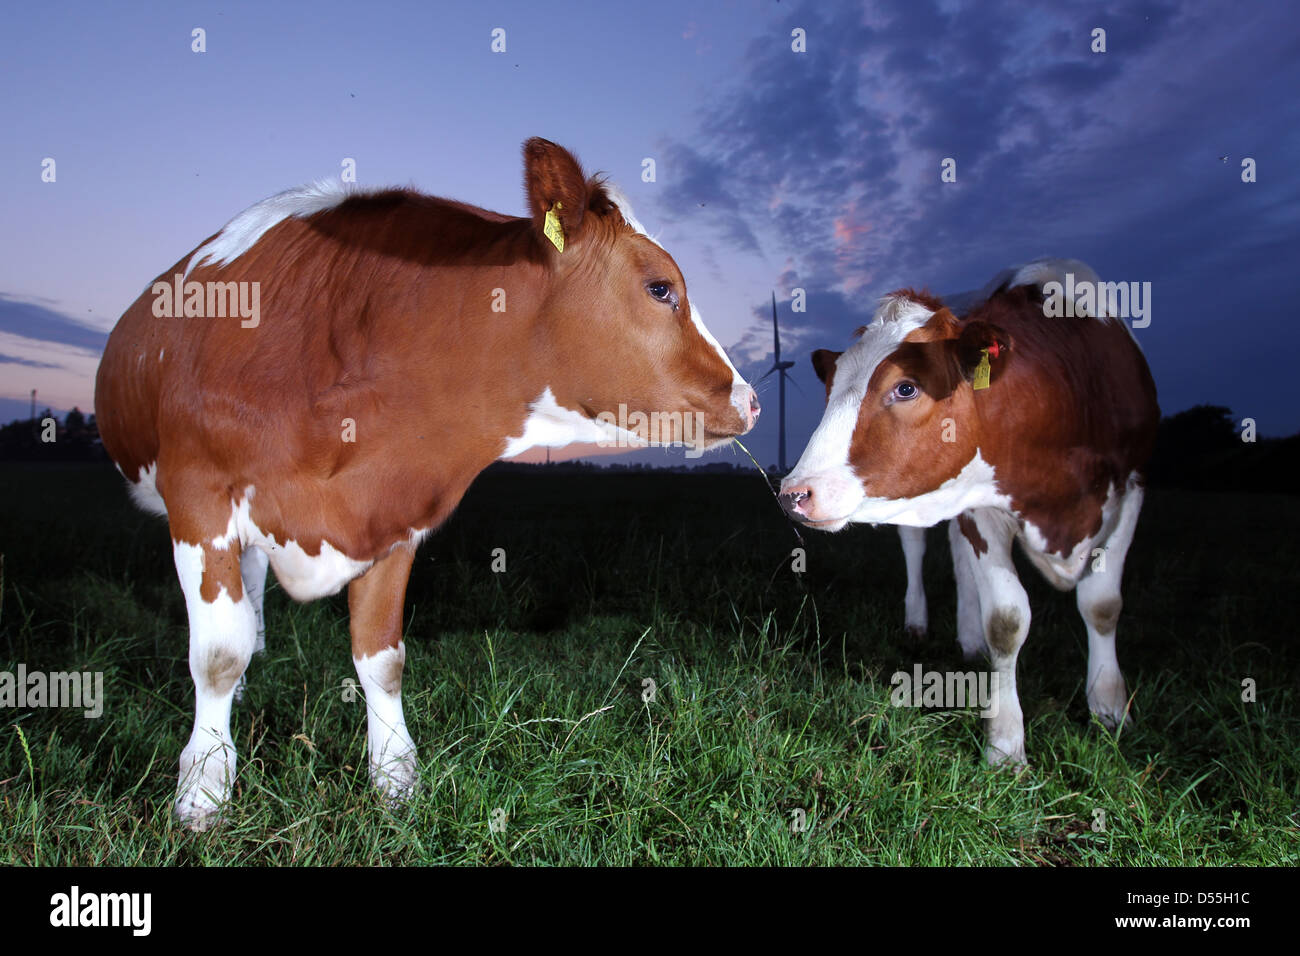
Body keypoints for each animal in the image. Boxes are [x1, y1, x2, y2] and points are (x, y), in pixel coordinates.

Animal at [94, 138, 759, 829]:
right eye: (661, 288)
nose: (751, 400)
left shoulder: (393, 509)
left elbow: (382, 658)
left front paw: (395, 779)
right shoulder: (199, 498)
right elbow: (217, 657)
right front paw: (203, 790)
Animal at [783, 259, 1158, 765]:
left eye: (906, 387)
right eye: (830, 390)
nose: (794, 492)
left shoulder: (1132, 488)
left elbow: (1102, 605)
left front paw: (1110, 709)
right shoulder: (981, 504)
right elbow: (1007, 619)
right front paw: (1005, 743)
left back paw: (969, 641)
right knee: (918, 547)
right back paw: (921, 624)